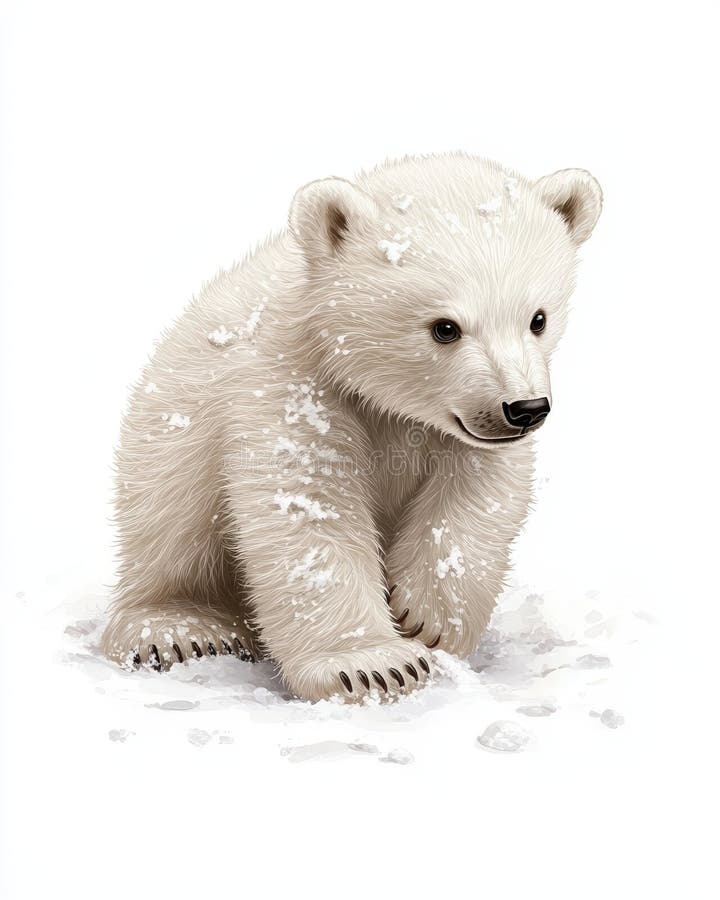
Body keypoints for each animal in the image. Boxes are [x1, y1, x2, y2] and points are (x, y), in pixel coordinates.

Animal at [102, 153, 602, 702]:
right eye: (444, 327)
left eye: (538, 318)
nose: (524, 408)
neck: (382, 397)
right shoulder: (294, 385)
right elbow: (310, 507)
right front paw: (371, 665)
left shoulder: (463, 433)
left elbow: (478, 494)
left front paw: (429, 619)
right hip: (170, 449)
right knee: (171, 531)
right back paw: (178, 628)